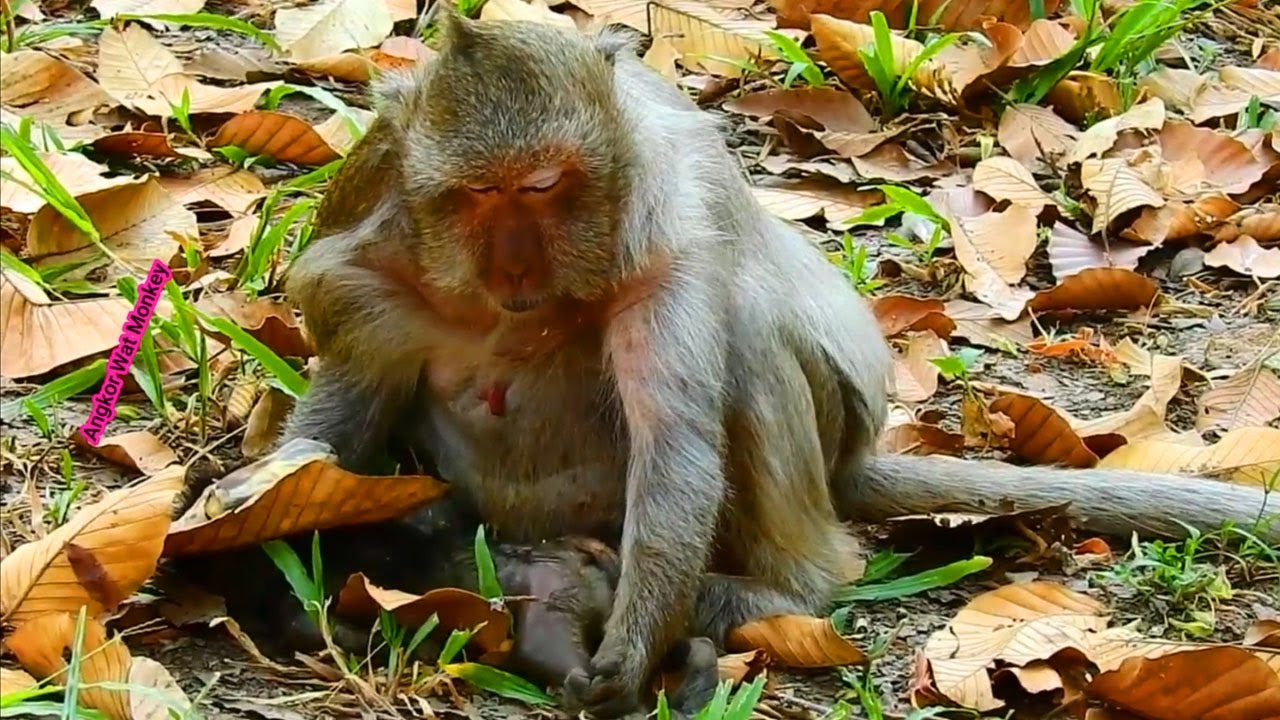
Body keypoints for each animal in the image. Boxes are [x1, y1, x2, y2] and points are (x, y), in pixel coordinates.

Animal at [278, 9, 1279, 718]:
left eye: (545, 185)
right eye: (480, 194)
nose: (516, 264)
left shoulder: (666, 240)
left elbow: (678, 442)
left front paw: (630, 650)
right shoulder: (372, 245)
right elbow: (351, 387)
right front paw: (278, 505)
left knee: (752, 342)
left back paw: (767, 590)